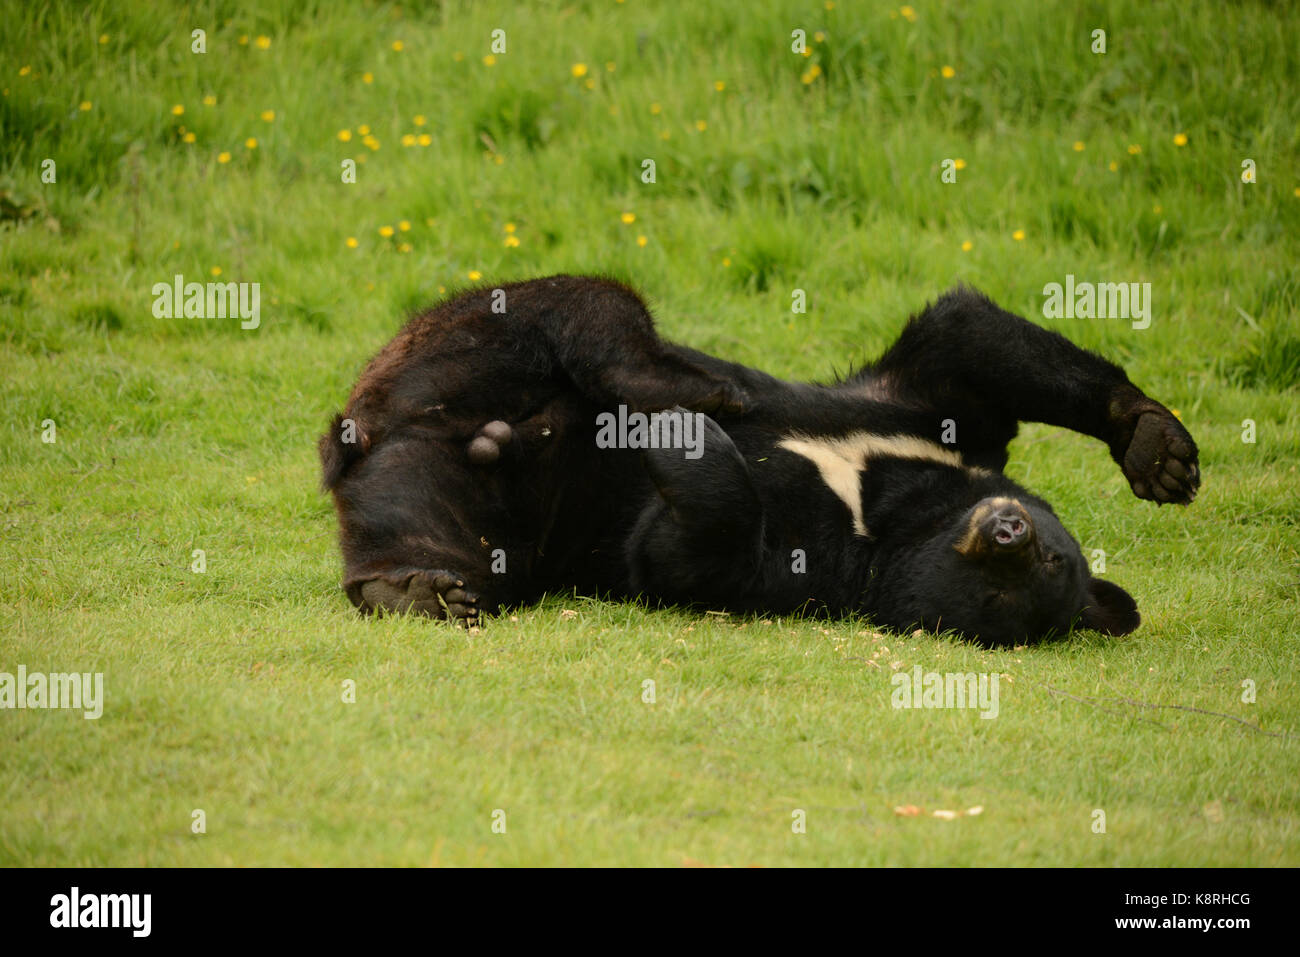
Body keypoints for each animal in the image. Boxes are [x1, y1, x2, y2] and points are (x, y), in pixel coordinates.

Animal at [319, 275, 1199, 646]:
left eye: (1022, 582)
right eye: (1057, 549)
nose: (1009, 529)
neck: (887, 515)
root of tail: (360, 435)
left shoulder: (813, 567)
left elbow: (682, 552)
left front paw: (685, 442)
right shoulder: (922, 421)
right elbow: (968, 348)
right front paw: (1158, 450)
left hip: (470, 505)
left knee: (437, 539)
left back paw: (414, 588)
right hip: (464, 340)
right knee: (590, 312)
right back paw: (702, 387)